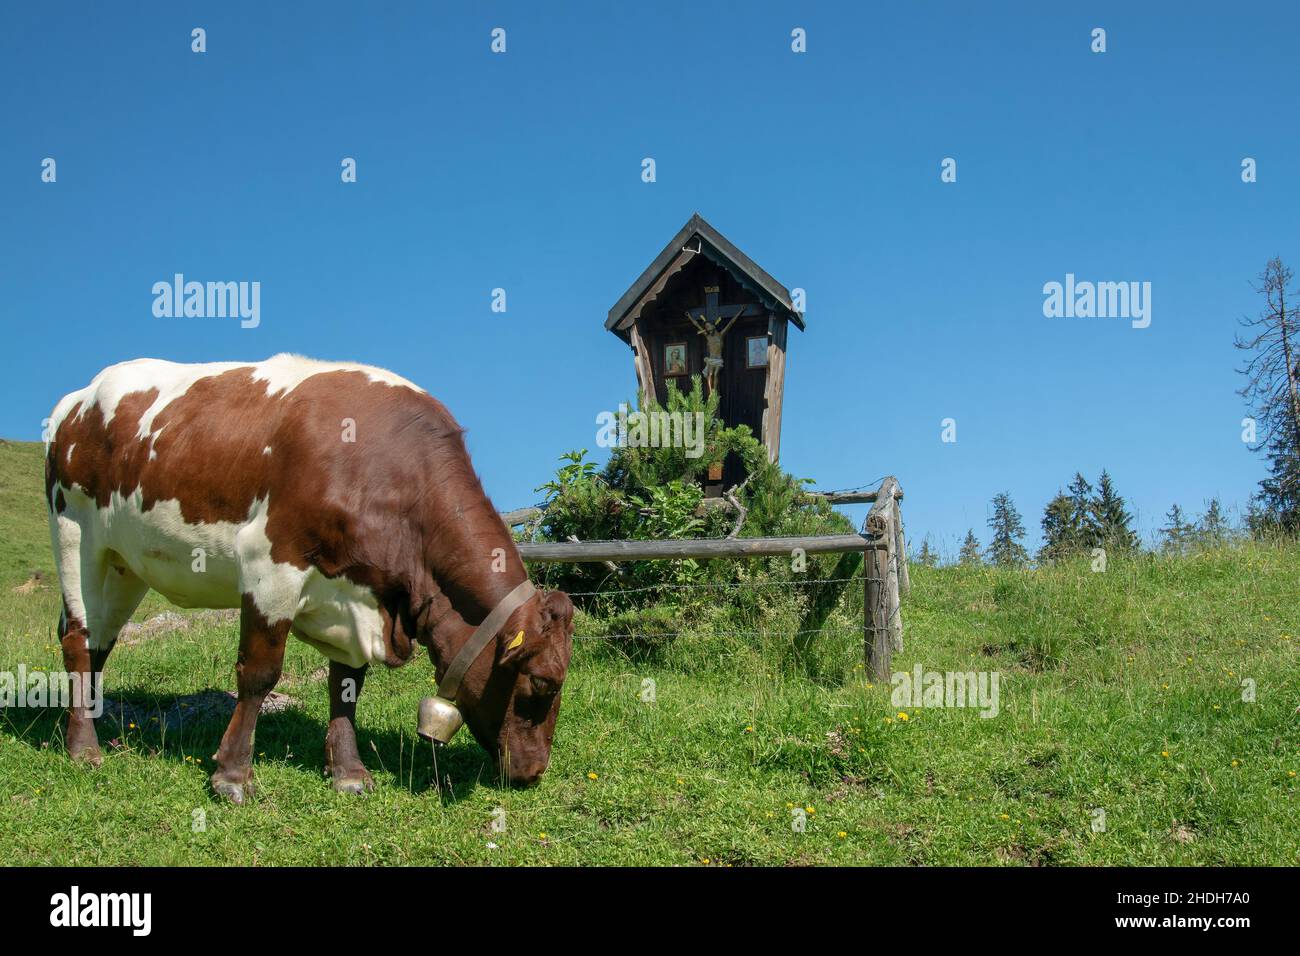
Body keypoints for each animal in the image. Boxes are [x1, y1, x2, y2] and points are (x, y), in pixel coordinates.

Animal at [44, 354, 573, 801]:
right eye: (543, 682)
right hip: (75, 536)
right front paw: (232, 776)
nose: (535, 772)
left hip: (124, 563)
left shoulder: (361, 592)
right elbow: (259, 674)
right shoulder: (271, 564)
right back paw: (83, 748)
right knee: (77, 640)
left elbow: (347, 682)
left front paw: (349, 772)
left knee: (100, 642)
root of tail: (81, 396)